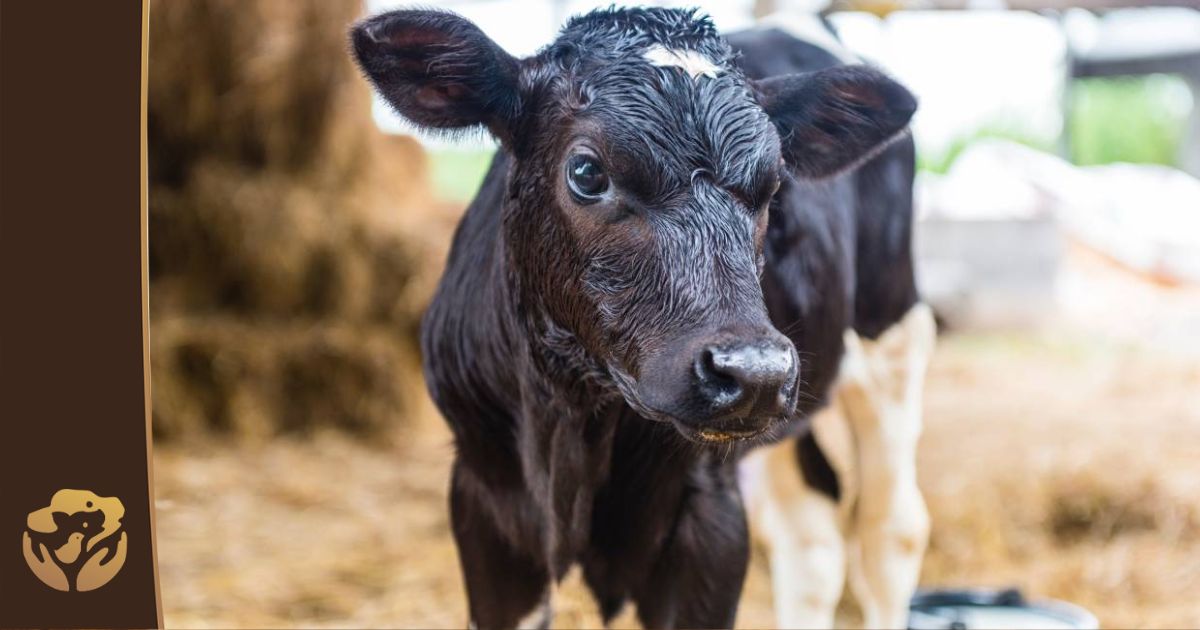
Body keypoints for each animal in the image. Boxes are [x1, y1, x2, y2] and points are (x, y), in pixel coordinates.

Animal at [350, 6, 933, 629]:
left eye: (775, 185)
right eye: (586, 171)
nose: (753, 372)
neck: (573, 412)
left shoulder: (711, 506)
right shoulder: (483, 494)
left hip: (892, 336)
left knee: (891, 532)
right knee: (811, 540)